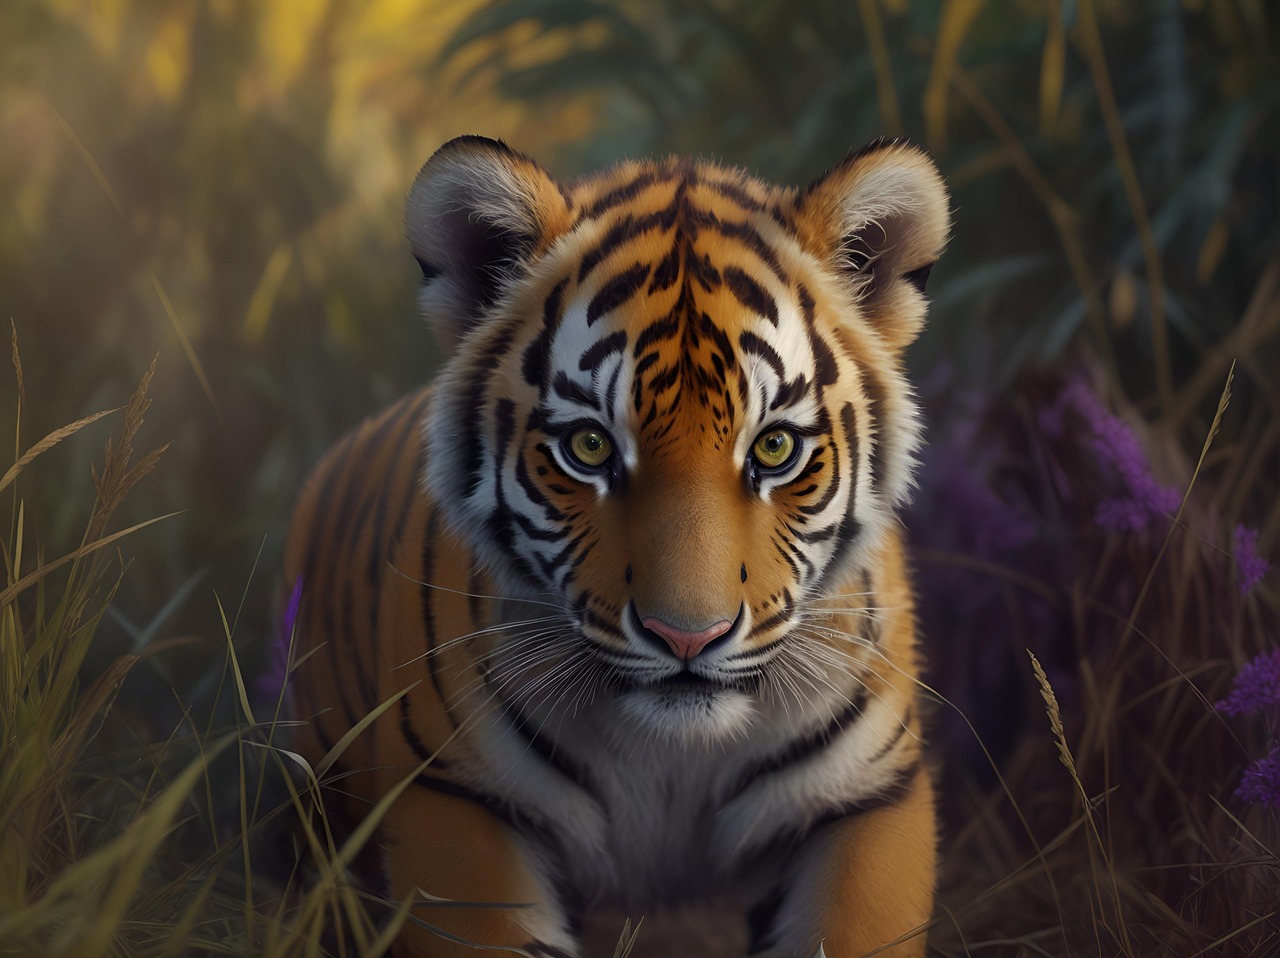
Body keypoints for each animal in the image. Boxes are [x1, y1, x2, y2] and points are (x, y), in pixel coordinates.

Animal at [283, 134, 950, 958]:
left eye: (775, 447)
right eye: (590, 447)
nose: (687, 638)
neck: (671, 754)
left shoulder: (870, 794)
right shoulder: (454, 795)